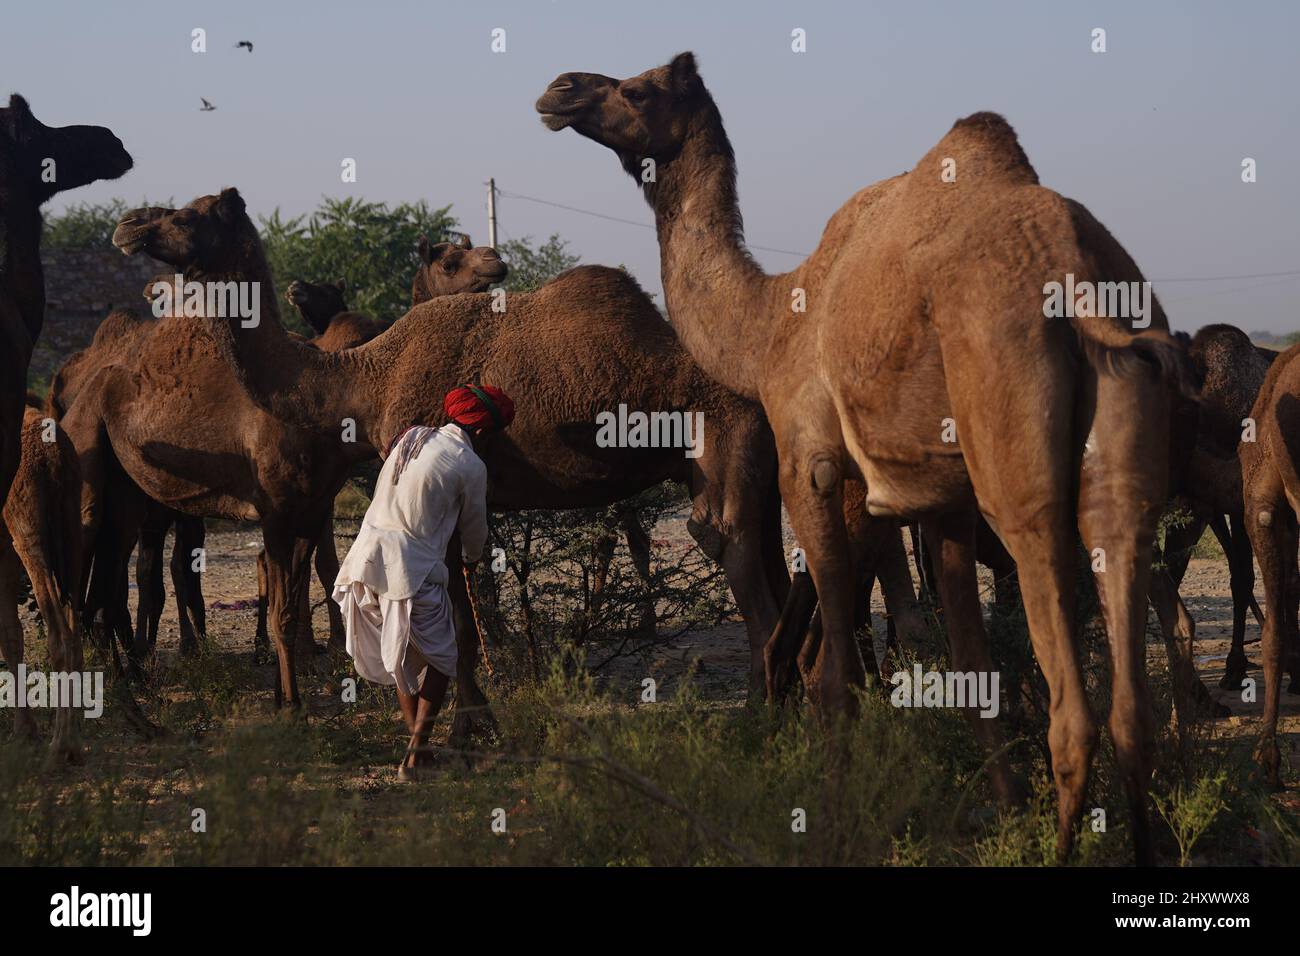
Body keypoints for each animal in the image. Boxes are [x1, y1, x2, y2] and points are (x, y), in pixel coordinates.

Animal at [112, 189, 789, 726]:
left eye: (184, 214)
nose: (126, 225)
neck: (367, 377)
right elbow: (461, 611)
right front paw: (472, 712)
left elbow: (455, 619)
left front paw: (468, 719)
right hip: (767, 469)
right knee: (778, 570)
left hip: (724, 446)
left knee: (734, 557)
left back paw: (759, 719)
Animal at [537, 53, 1197, 865]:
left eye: (636, 89)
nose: (559, 90)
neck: (768, 323)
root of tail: (1080, 278)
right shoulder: (940, 498)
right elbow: (969, 665)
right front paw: (1006, 811)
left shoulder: (810, 465)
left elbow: (836, 678)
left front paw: (831, 822)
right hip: (1125, 425)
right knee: (1132, 679)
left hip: (1013, 445)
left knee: (1071, 694)